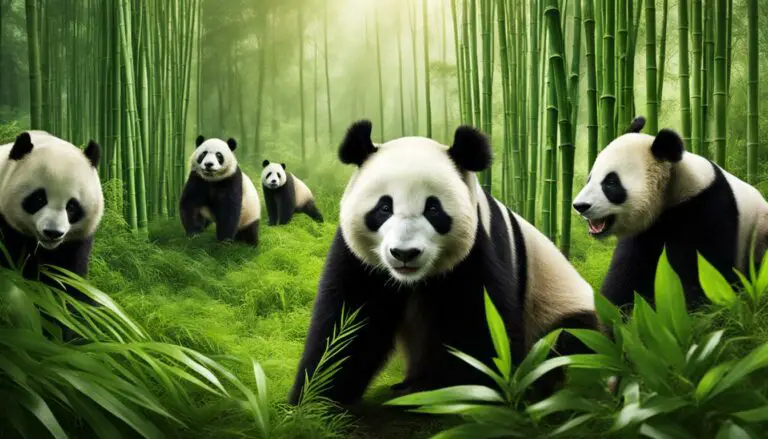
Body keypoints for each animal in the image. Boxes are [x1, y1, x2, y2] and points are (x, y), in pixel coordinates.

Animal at [288, 120, 598, 405]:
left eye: (433, 209)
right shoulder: (361, 261)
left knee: (573, 339)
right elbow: (347, 325)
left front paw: (480, 397)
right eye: (384, 207)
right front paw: (314, 401)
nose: (405, 253)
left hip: (558, 307)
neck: (413, 279)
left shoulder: (476, 249)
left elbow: (481, 324)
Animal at [573, 116, 768, 311]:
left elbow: (703, 270)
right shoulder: (645, 230)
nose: (580, 206)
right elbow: (626, 271)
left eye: (611, 182)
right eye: (589, 179)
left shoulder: (707, 207)